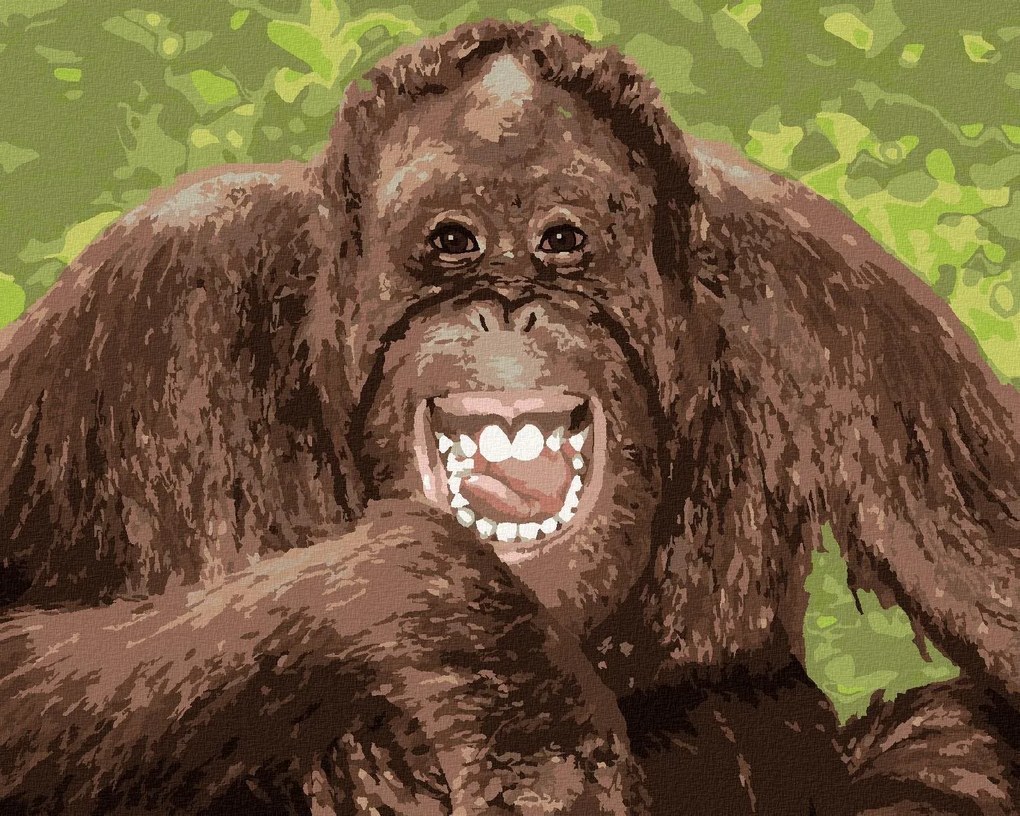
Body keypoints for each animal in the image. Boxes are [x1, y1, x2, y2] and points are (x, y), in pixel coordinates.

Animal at [1, 19, 1019, 816]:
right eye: (453, 242)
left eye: (563, 241)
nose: (509, 305)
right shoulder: (154, 280)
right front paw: (472, 646)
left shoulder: (841, 304)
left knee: (948, 743)